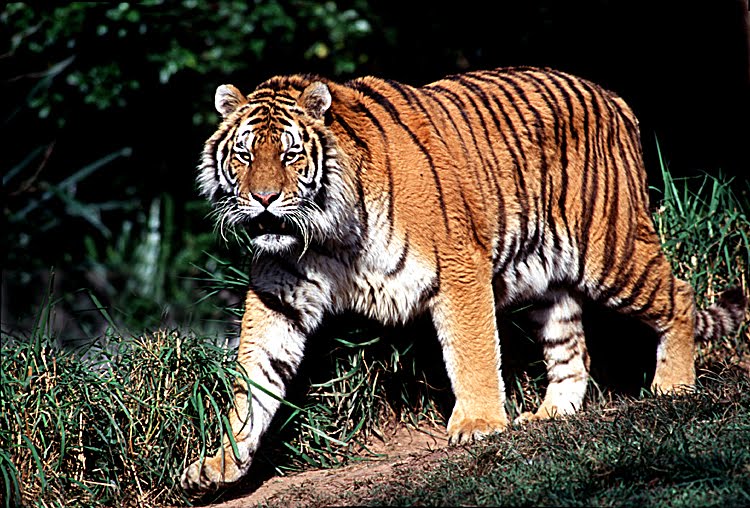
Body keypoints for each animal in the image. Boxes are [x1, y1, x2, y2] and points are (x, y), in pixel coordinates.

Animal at [181, 66, 747, 492]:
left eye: (291, 153)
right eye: (244, 154)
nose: (264, 199)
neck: (327, 232)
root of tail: (614, 98)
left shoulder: (458, 266)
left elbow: (471, 351)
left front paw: (477, 425)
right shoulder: (279, 295)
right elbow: (253, 379)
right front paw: (222, 463)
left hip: (612, 250)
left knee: (680, 295)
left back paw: (672, 386)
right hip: (549, 280)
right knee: (571, 348)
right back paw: (551, 414)